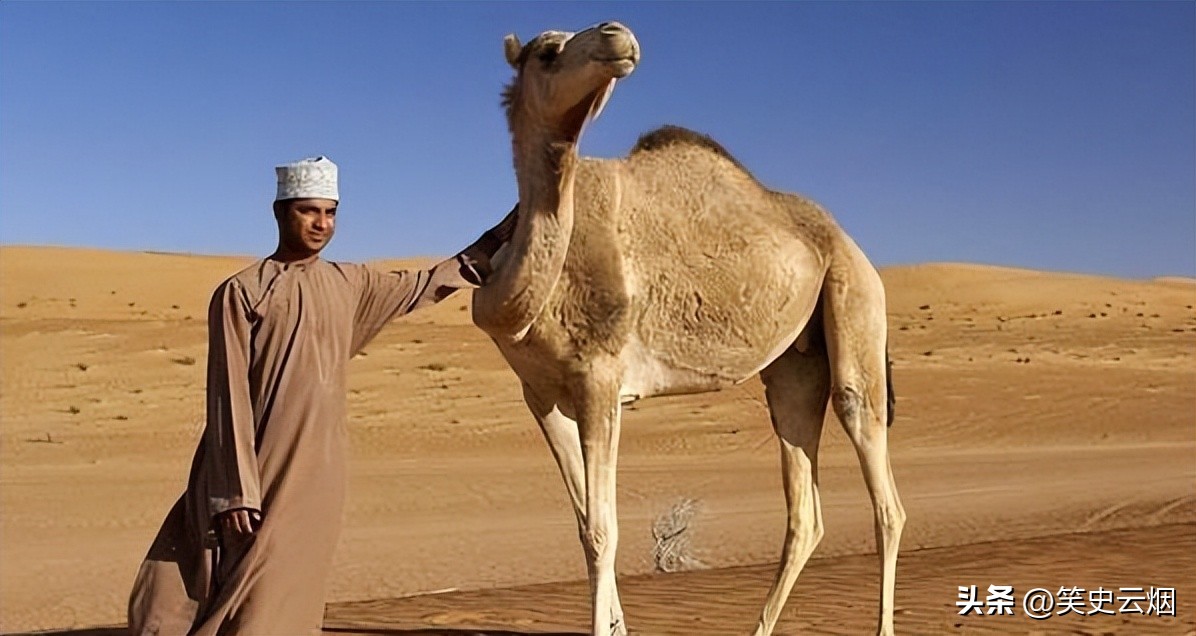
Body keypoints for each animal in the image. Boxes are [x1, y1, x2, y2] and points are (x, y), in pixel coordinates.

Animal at [470, 21, 906, 636]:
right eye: (549, 52)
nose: (617, 34)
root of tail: (849, 241)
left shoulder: (600, 380)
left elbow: (603, 531)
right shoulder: (542, 395)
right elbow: (583, 526)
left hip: (857, 303)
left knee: (884, 497)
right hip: (795, 367)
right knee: (805, 512)